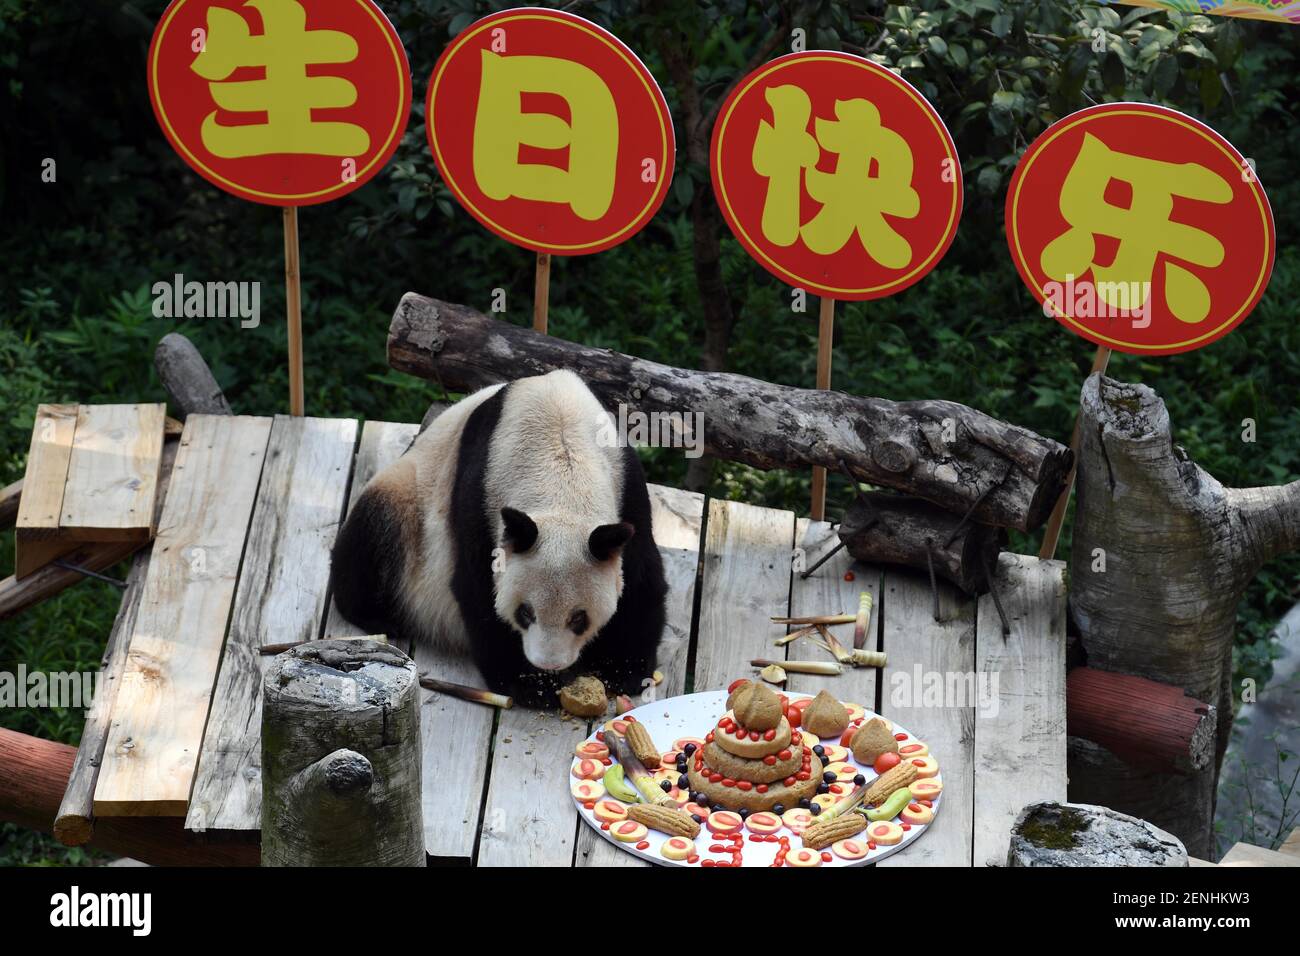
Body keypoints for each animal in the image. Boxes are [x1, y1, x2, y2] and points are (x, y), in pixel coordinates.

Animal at [328, 369, 667, 707]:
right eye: (525, 613)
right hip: (409, 500)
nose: (548, 663)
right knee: (371, 537)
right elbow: (477, 584)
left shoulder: (625, 483)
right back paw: (377, 616)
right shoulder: (479, 487)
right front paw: (529, 684)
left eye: (578, 618)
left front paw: (623, 670)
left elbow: (640, 578)